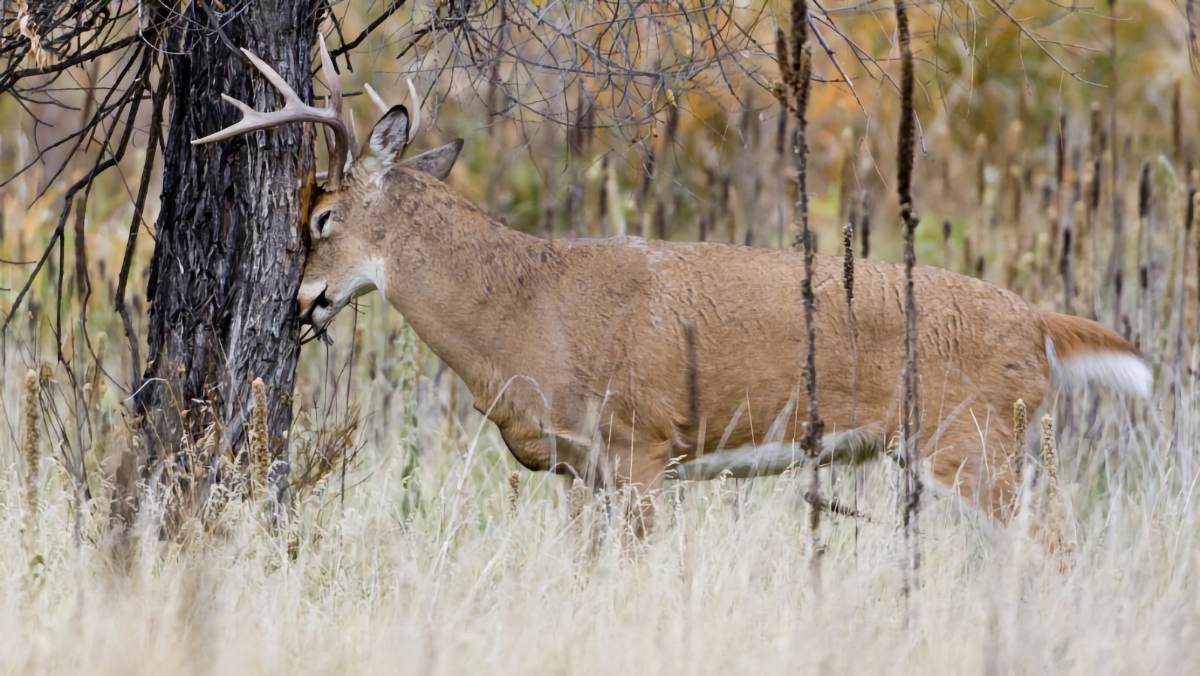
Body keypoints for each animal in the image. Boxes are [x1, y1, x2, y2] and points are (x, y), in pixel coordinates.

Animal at [194, 37, 1151, 528]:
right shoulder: (584, 471)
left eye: (322, 218)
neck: (522, 311)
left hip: (975, 439)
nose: (299, 302)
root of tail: (1037, 325)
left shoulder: (640, 444)